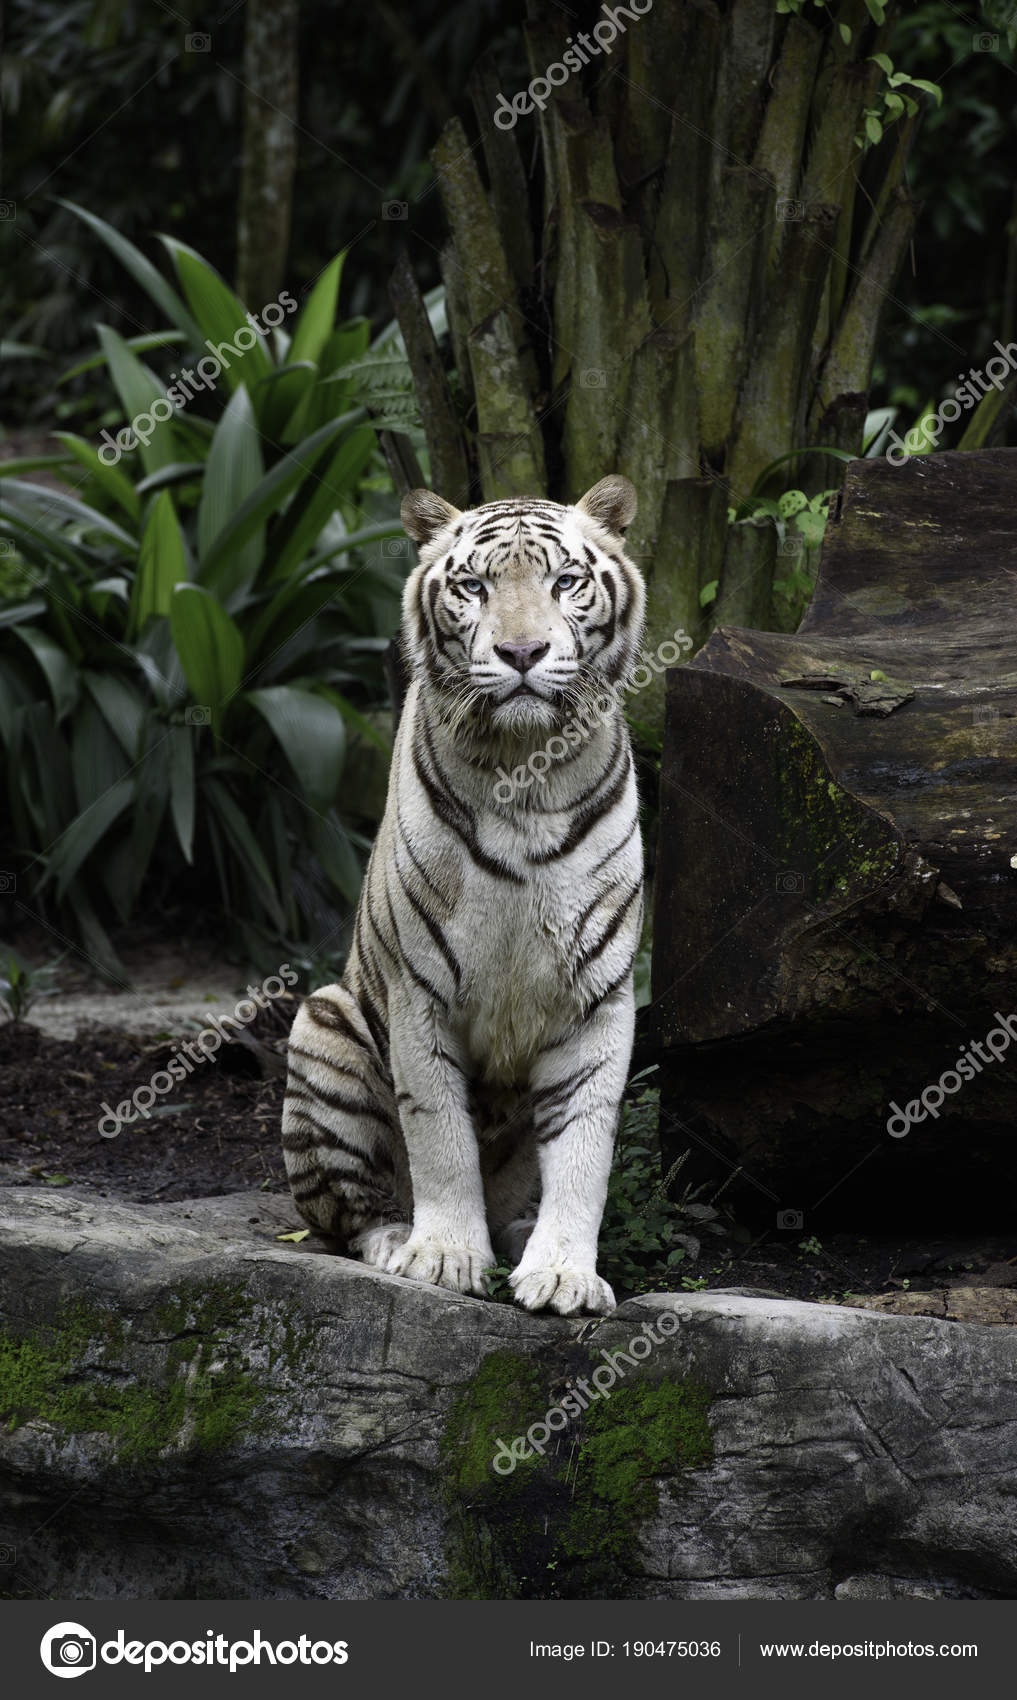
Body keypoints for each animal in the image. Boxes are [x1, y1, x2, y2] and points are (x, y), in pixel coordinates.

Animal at [281, 474, 646, 1315]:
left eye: (564, 581)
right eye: (474, 587)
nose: (521, 653)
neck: (527, 769)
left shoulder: (598, 997)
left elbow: (584, 1150)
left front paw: (564, 1274)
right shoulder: (419, 990)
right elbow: (439, 1137)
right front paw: (446, 1256)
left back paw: (518, 1236)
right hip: (324, 1018)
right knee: (347, 1213)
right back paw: (397, 1241)